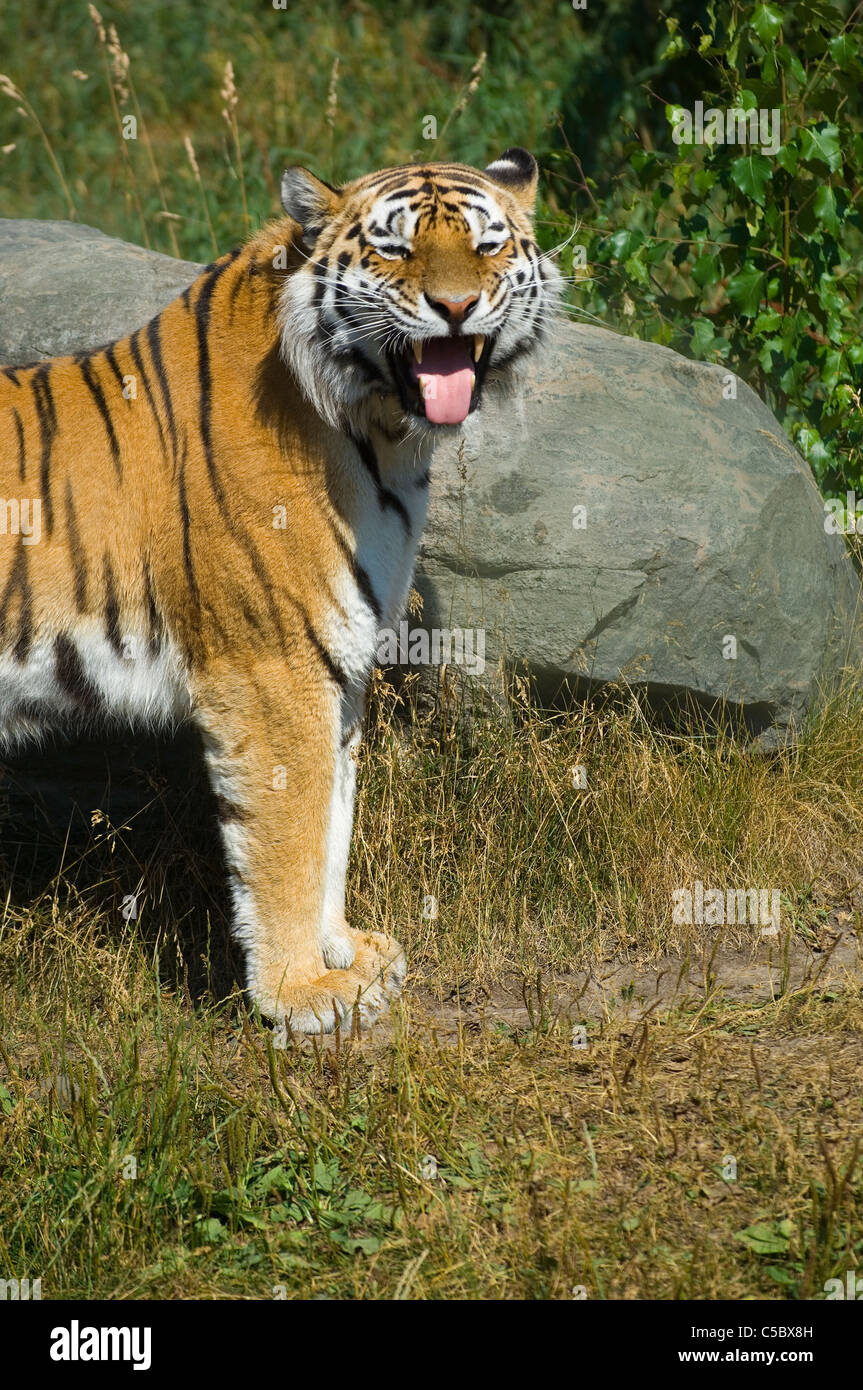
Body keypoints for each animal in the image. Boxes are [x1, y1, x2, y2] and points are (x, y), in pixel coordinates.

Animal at [0, 146, 560, 1032]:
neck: (384, 437)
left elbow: (335, 819)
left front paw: (350, 955)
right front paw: (301, 994)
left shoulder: (341, 662)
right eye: (396, 250)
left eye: (486, 246)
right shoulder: (273, 669)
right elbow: (288, 835)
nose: (455, 307)